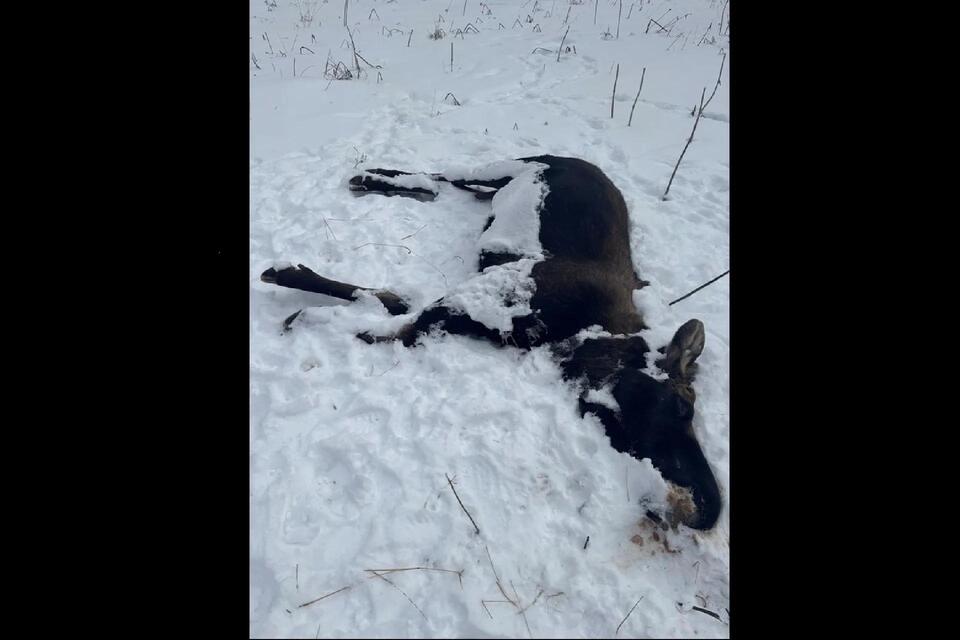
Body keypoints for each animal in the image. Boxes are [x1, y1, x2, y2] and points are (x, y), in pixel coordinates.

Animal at [260, 155, 722, 531]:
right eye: (683, 405)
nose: (709, 507)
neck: (581, 331)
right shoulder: (477, 295)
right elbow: (383, 317)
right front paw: (294, 288)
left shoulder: (463, 308)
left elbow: (390, 309)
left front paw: (303, 300)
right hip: (505, 168)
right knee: (442, 175)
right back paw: (372, 176)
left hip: (494, 187)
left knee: (441, 185)